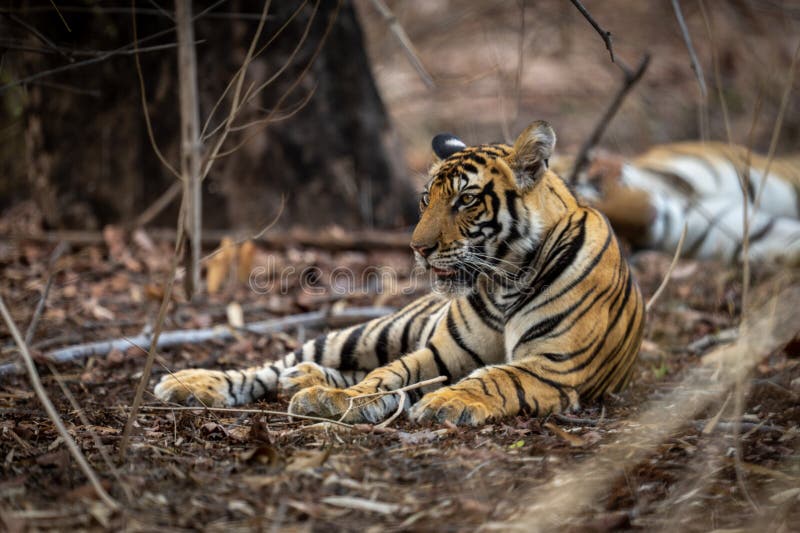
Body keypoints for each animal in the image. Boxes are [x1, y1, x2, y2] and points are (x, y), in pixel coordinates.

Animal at [154, 120, 645, 426]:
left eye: (466, 200)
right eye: (427, 198)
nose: (417, 249)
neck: (504, 280)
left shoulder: (553, 366)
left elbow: (497, 376)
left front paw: (446, 401)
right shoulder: (441, 352)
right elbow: (388, 374)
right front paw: (342, 400)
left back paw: (308, 379)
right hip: (373, 331)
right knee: (278, 364)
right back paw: (192, 382)